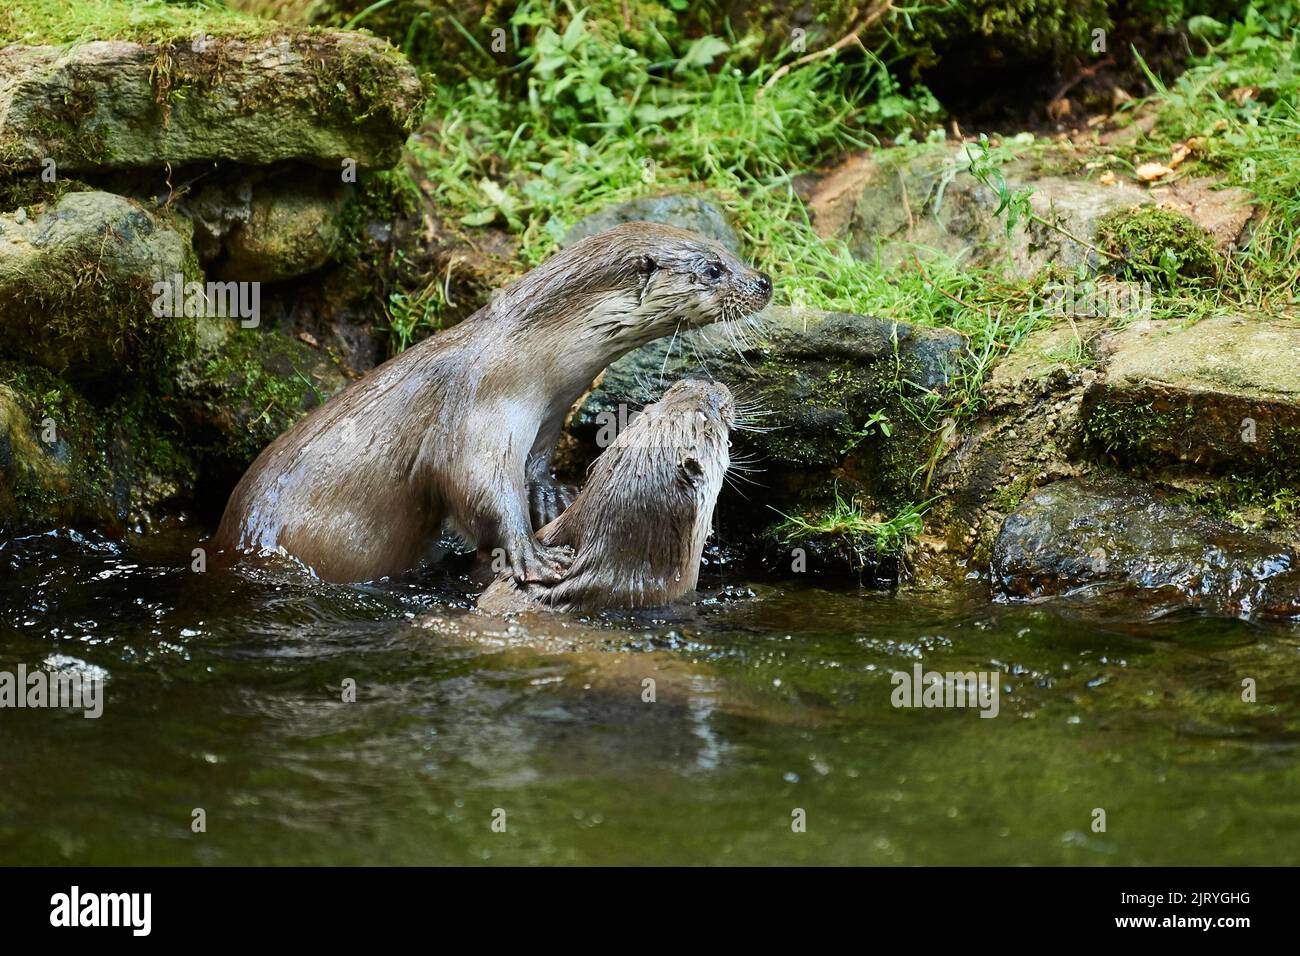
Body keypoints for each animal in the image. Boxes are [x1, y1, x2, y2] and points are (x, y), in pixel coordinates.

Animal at [213, 223, 770, 584]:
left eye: (726, 250)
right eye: (713, 269)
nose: (763, 282)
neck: (523, 360)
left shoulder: (547, 418)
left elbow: (534, 465)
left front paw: (551, 496)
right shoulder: (475, 409)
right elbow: (473, 484)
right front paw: (534, 556)